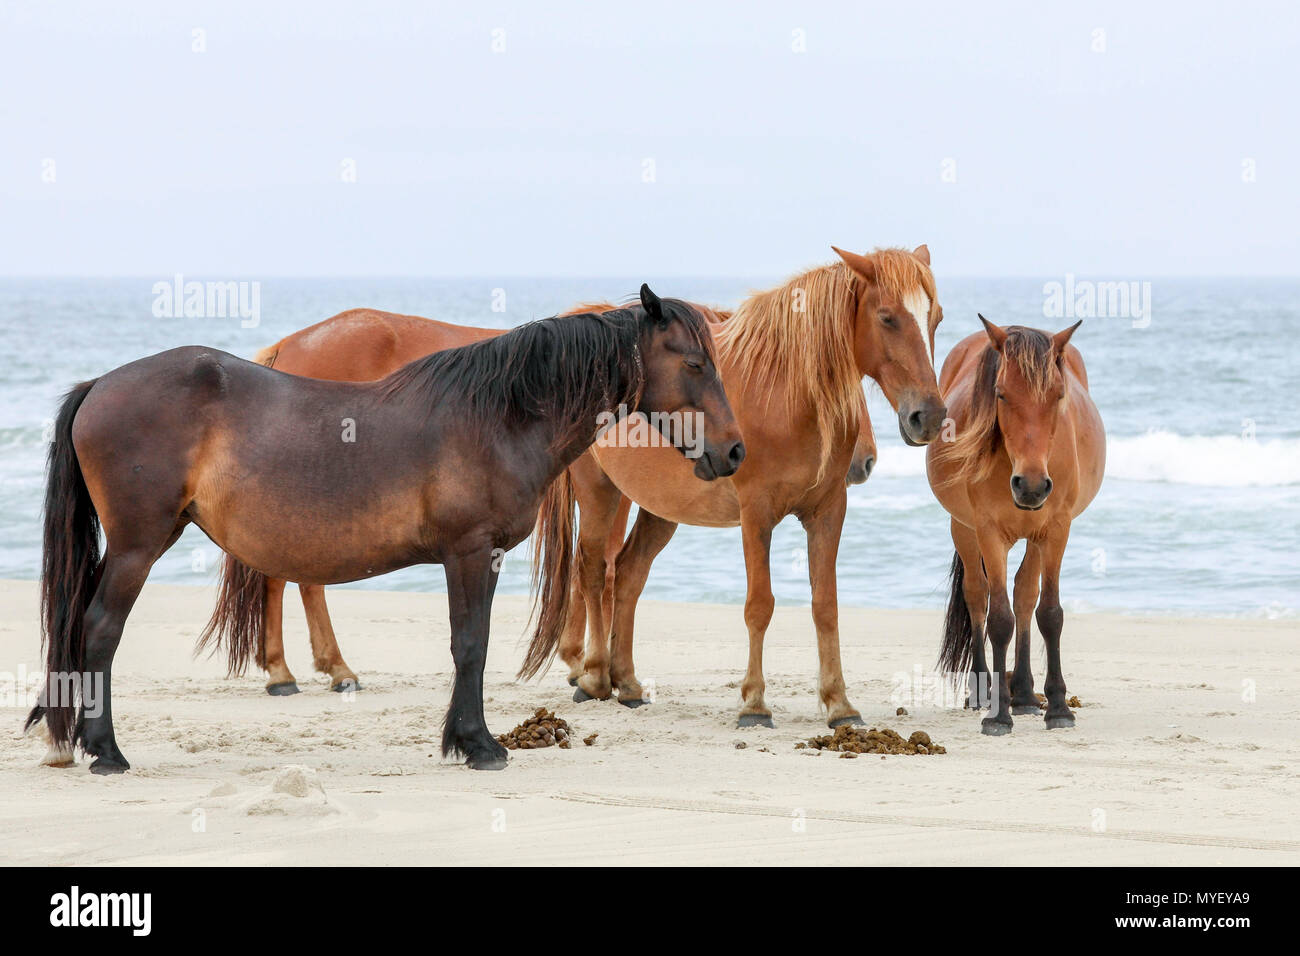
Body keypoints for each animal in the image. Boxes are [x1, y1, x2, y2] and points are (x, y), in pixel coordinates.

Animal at [26, 287, 745, 773]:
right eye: (695, 363)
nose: (734, 452)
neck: (498, 415)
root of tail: (100, 385)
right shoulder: (470, 552)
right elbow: (470, 645)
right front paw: (477, 744)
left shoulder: (481, 557)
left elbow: (470, 644)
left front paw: (464, 739)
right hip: (138, 547)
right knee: (99, 631)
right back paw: (107, 751)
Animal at [215, 303, 877, 696]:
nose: (863, 460)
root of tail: (288, 346)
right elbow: (598, 567)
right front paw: (589, 666)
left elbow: (603, 569)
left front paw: (585, 660)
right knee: (288, 576)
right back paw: (295, 671)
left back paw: (319, 667)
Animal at [524, 245, 947, 728]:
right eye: (886, 317)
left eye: (936, 318)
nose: (929, 416)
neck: (786, 391)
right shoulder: (756, 514)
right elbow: (759, 606)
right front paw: (755, 704)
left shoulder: (828, 511)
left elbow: (826, 606)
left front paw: (840, 704)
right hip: (600, 492)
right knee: (594, 571)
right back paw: (594, 677)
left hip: (659, 509)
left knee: (628, 575)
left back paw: (627, 684)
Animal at [929, 315, 1105, 735]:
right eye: (1002, 394)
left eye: (1058, 395)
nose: (1031, 485)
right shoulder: (989, 533)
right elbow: (999, 619)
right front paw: (998, 714)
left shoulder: (1055, 530)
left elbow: (1049, 613)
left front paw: (1058, 707)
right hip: (963, 529)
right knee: (977, 596)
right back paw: (982, 692)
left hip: (1036, 538)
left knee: (1026, 594)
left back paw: (1024, 694)